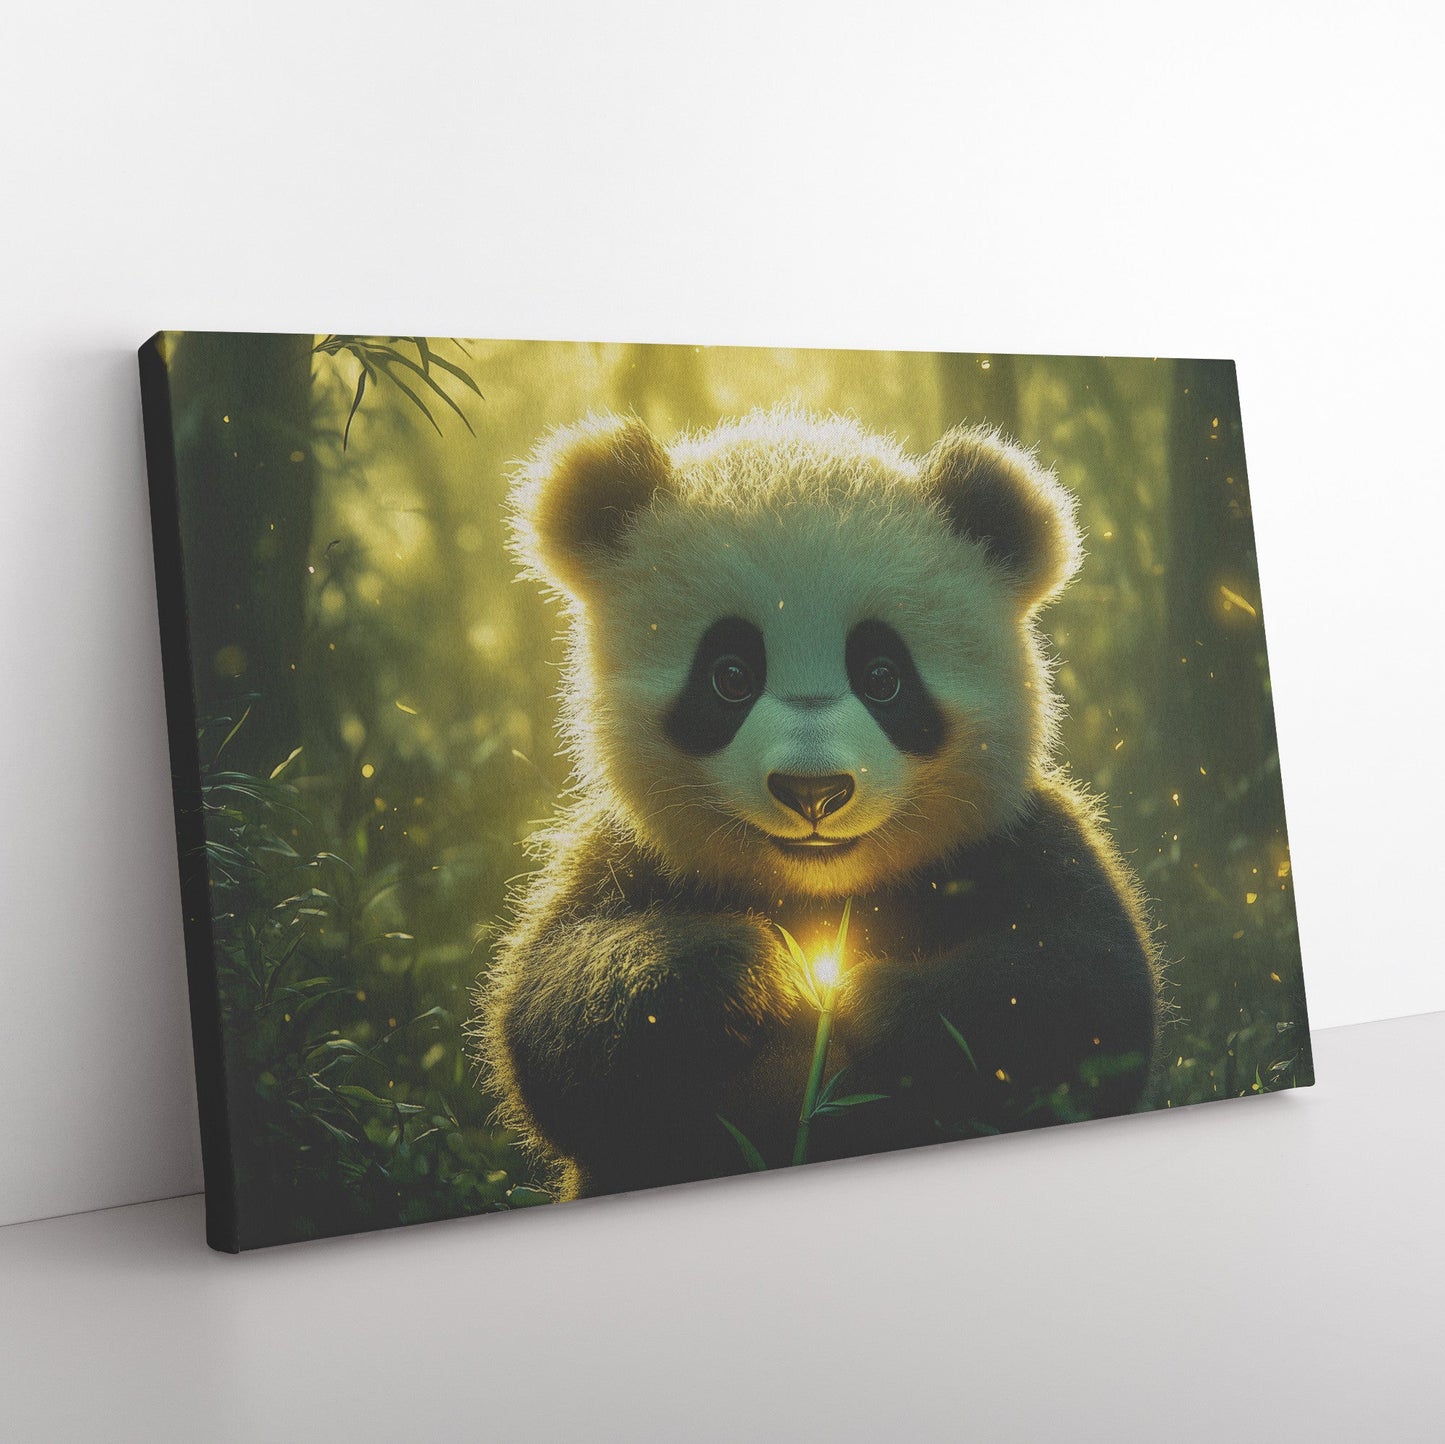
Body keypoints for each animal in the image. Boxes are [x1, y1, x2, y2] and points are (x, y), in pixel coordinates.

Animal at [476, 406, 1162, 1201]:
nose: (813, 791)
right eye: (731, 674)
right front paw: (751, 975)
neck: (820, 892)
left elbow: (1088, 993)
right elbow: (549, 1018)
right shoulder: (629, 855)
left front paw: (866, 1000)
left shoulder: (1011, 838)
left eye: (883, 675)